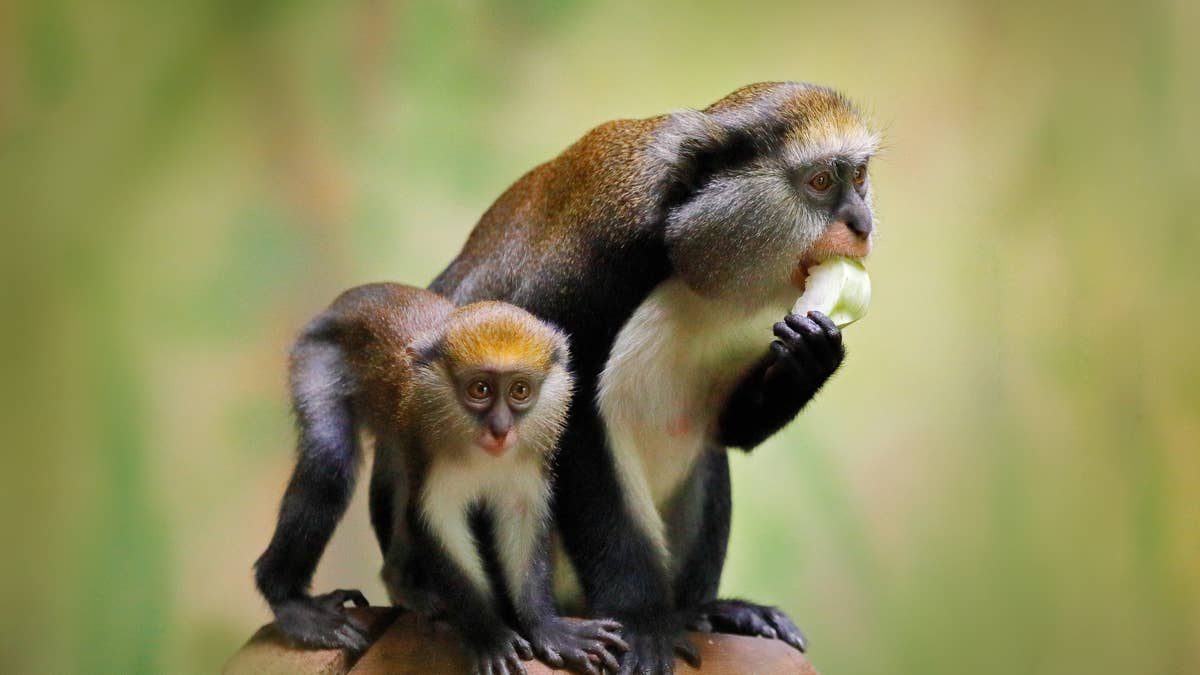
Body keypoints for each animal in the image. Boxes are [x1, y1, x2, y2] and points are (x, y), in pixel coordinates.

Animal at [254, 283, 628, 675]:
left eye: (520, 391)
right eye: (479, 390)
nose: (500, 430)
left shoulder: (526, 469)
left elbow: (523, 526)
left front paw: (547, 627)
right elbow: (437, 525)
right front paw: (490, 636)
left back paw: (402, 581)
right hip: (316, 358)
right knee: (329, 461)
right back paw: (290, 602)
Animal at [428, 82, 878, 674]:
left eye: (860, 176)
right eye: (822, 182)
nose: (863, 225)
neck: (684, 248)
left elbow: (731, 430)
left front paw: (813, 357)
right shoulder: (585, 273)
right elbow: (567, 431)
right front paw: (641, 621)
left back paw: (706, 611)